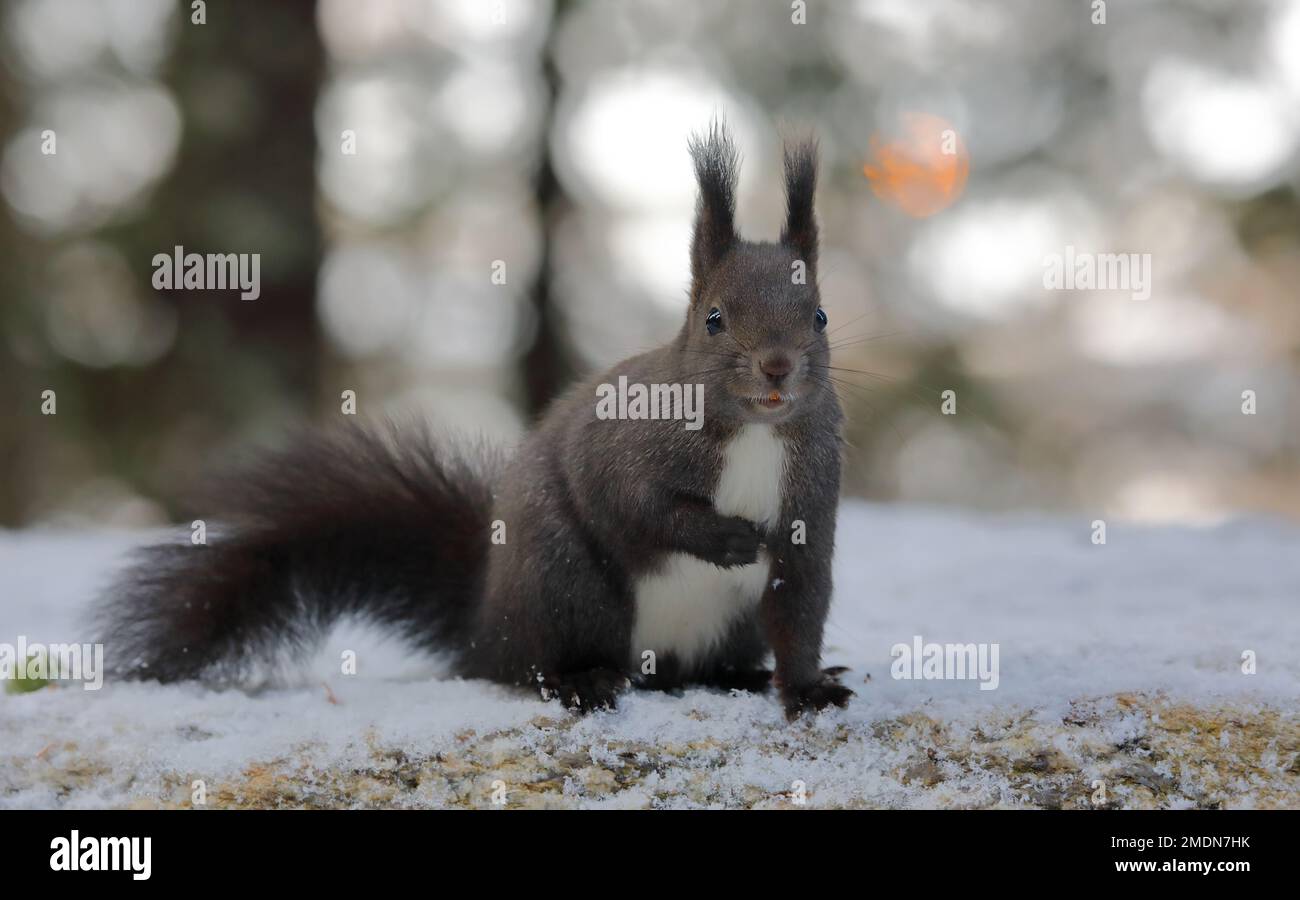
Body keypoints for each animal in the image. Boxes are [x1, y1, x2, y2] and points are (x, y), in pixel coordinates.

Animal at [95, 123, 853, 720]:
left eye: (819, 315)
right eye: (714, 319)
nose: (778, 367)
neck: (755, 434)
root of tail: (487, 628)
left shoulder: (810, 512)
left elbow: (800, 607)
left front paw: (810, 688)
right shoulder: (623, 448)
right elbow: (638, 507)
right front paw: (726, 538)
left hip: (717, 624)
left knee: (708, 662)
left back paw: (737, 675)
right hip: (563, 579)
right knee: (542, 662)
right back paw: (581, 681)